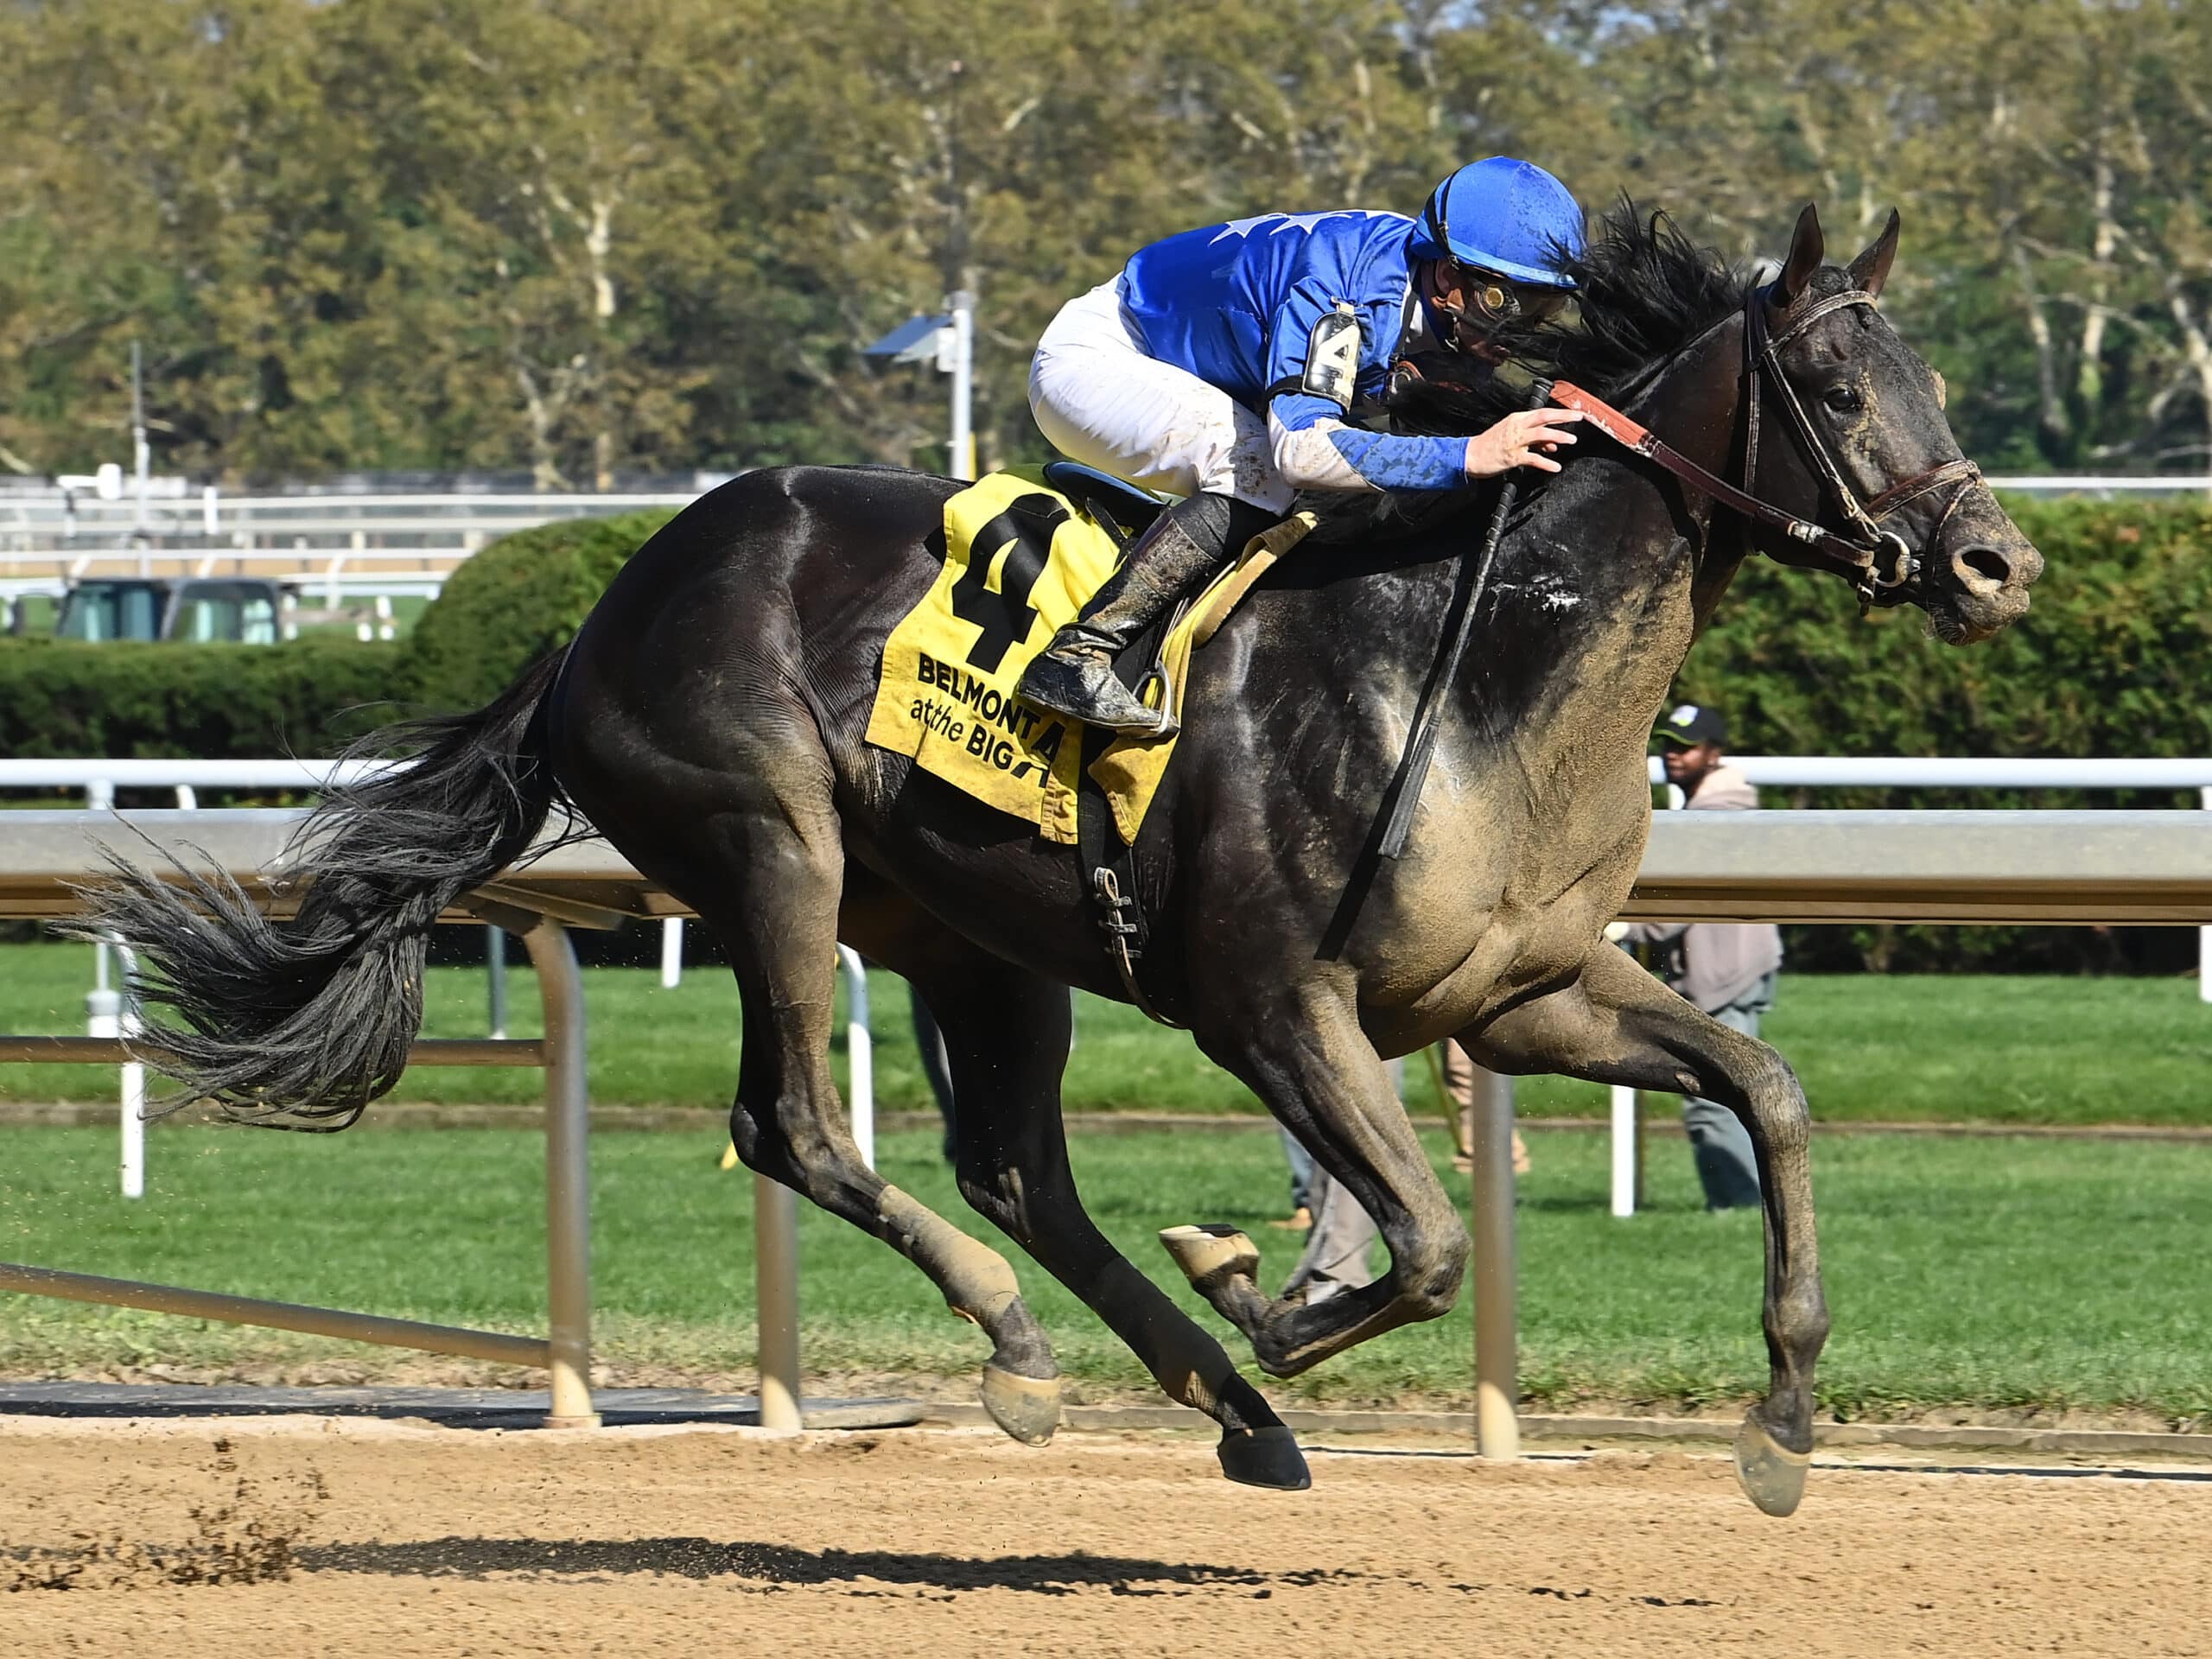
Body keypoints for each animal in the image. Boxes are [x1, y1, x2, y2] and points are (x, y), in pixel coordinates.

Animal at [92, 201, 2042, 1516]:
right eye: (1830, 382)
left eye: (1930, 374)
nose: (1993, 563)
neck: (1472, 657)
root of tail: (597, 613)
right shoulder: (1273, 1005)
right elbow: (1419, 1249)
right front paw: (1260, 1286)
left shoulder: (1523, 993)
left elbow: (1765, 1093)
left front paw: (1780, 1422)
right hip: (772, 852)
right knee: (796, 1124)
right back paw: (1037, 1350)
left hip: (979, 936)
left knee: (1014, 1167)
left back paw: (1221, 1407)